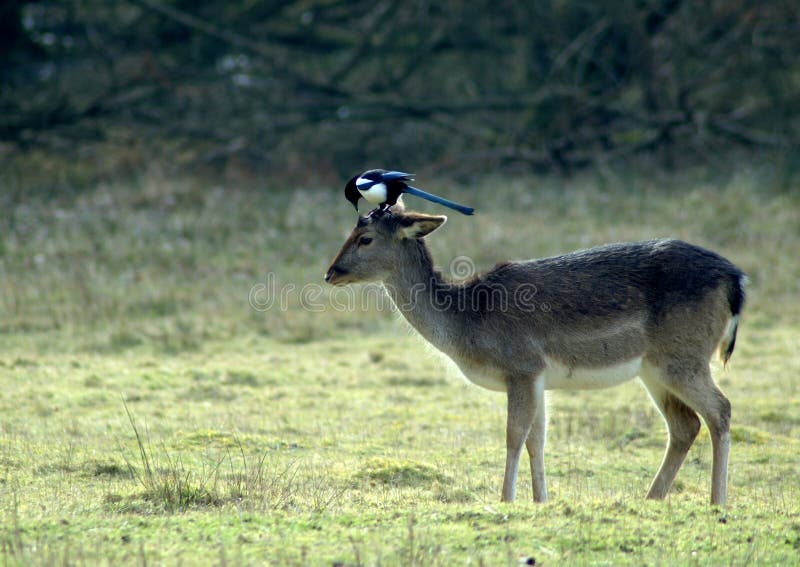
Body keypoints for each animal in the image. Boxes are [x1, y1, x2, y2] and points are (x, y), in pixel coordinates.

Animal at [324, 207, 746, 505]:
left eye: (365, 238)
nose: (331, 273)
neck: (467, 321)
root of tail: (736, 279)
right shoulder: (540, 377)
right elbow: (537, 440)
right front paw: (541, 502)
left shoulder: (521, 366)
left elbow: (514, 436)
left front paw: (506, 500)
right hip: (654, 369)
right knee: (685, 424)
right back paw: (652, 498)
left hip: (683, 357)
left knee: (720, 409)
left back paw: (717, 501)